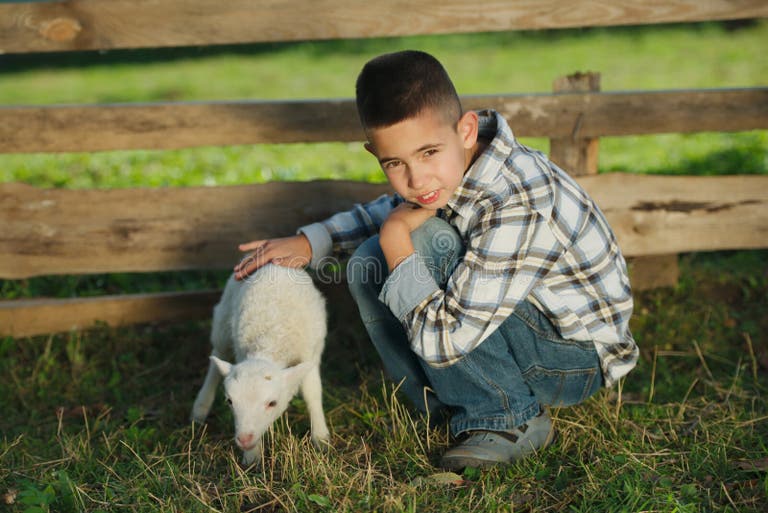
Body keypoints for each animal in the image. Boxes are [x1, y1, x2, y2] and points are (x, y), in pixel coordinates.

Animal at [190, 263, 330, 465]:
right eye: (229, 401)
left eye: (272, 403)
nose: (244, 439)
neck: (271, 339)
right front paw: (252, 458)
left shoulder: (310, 354)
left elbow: (312, 393)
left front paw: (321, 437)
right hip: (223, 320)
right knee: (217, 358)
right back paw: (200, 407)